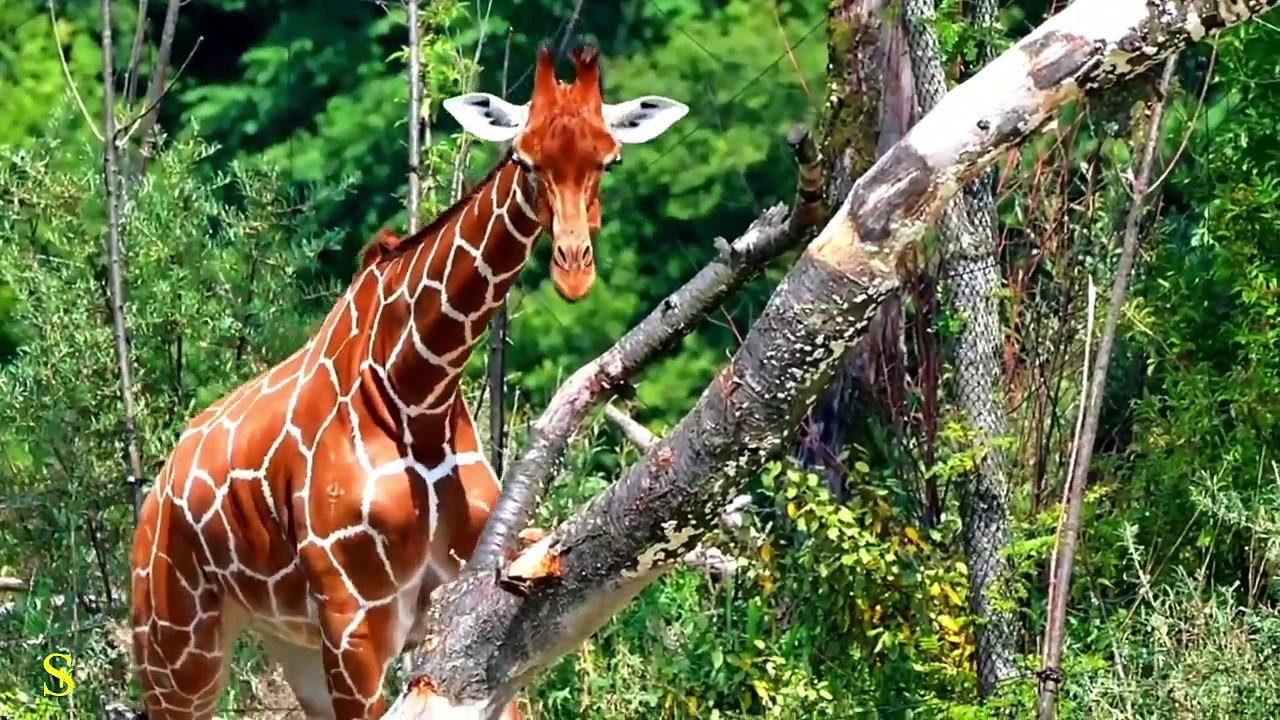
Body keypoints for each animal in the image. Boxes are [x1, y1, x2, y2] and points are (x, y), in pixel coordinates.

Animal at [127, 42, 687, 720]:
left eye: (611, 159)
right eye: (523, 158)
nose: (572, 270)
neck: (418, 394)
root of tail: (156, 493)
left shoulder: (463, 613)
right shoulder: (356, 621)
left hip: (288, 641)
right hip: (176, 643)